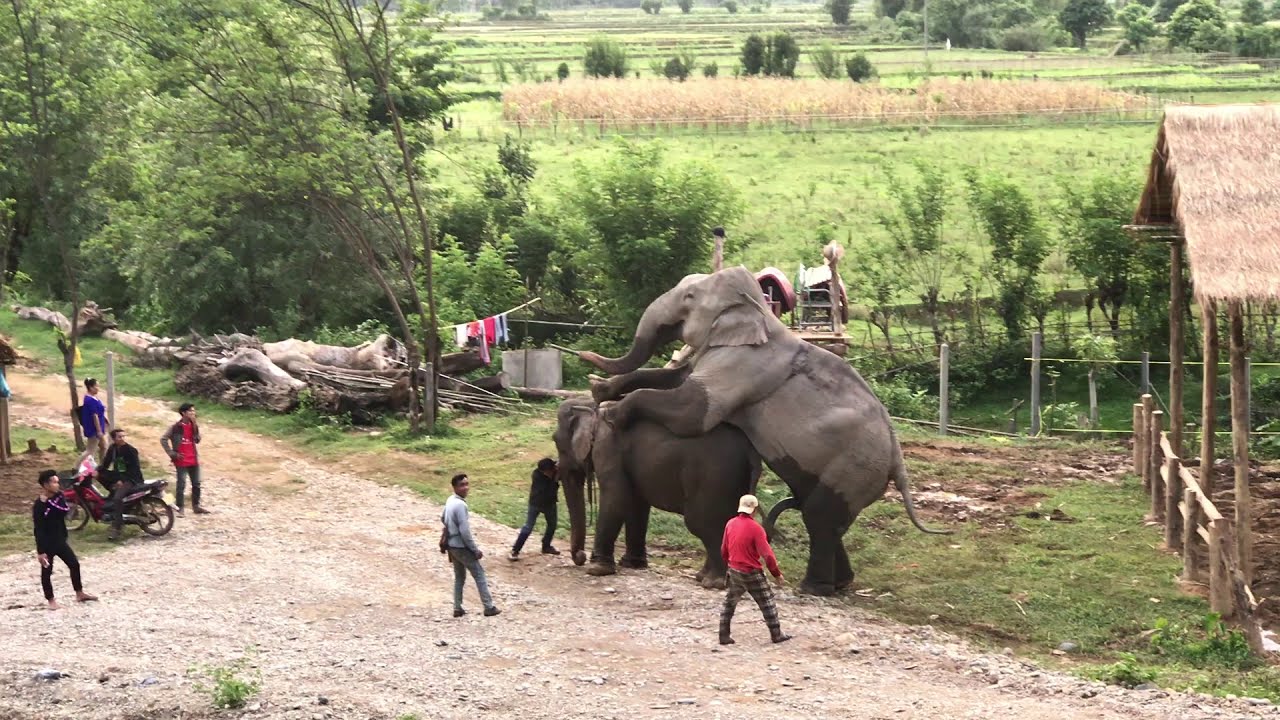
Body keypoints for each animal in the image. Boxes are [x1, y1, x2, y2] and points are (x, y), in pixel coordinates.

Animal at [552, 396, 762, 589]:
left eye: (555, 439)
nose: (580, 557)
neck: (593, 406)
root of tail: (751, 451)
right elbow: (636, 505)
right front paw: (632, 565)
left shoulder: (608, 450)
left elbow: (615, 499)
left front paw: (597, 570)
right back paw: (704, 577)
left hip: (714, 478)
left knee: (702, 523)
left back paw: (712, 583)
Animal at [580, 266, 948, 596]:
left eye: (689, 297)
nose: (585, 356)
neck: (760, 314)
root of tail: (898, 461)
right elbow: (673, 379)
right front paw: (600, 389)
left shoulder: (744, 366)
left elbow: (692, 410)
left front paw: (611, 411)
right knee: (826, 518)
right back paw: (841, 584)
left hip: (855, 467)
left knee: (819, 516)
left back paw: (813, 589)